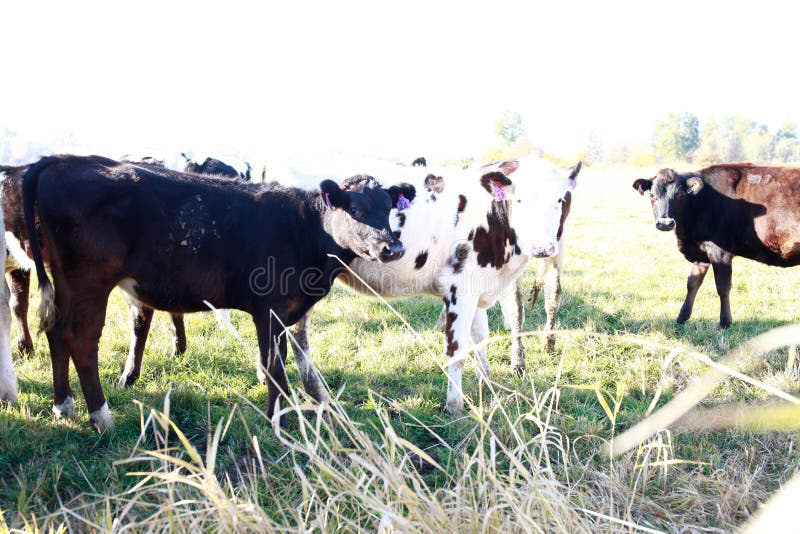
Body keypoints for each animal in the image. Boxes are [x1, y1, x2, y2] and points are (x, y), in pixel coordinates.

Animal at [22, 154, 412, 431]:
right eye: (356, 209)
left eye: (390, 209)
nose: (393, 248)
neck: (305, 229)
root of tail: (62, 159)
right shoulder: (269, 308)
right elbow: (273, 364)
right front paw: (278, 419)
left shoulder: (288, 312)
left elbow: (287, 361)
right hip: (89, 281)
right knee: (81, 341)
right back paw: (101, 417)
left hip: (66, 282)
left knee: (56, 332)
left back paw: (63, 405)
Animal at [285, 156, 580, 415]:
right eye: (519, 200)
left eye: (560, 200)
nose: (543, 248)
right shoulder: (460, 287)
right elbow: (458, 350)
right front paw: (455, 407)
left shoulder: (479, 282)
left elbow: (481, 337)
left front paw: (486, 384)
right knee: (297, 335)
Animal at [633, 163, 800, 328]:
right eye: (652, 195)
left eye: (680, 195)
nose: (665, 223)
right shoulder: (701, 252)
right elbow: (692, 283)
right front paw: (682, 317)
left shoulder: (720, 251)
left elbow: (722, 286)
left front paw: (725, 322)